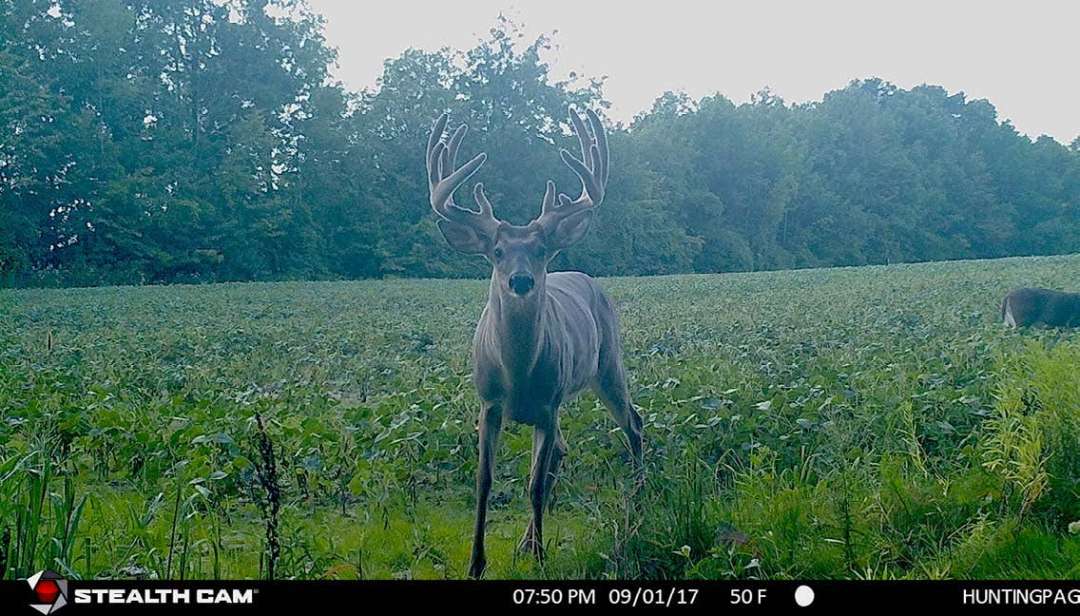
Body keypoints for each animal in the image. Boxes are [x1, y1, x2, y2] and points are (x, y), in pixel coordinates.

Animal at [425, 108, 644, 578]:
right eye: (497, 251)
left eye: (541, 249)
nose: (521, 280)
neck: (518, 374)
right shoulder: (489, 403)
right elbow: (485, 481)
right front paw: (477, 563)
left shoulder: (548, 404)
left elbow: (535, 485)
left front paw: (542, 557)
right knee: (562, 448)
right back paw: (527, 541)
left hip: (608, 363)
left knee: (633, 423)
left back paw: (638, 502)